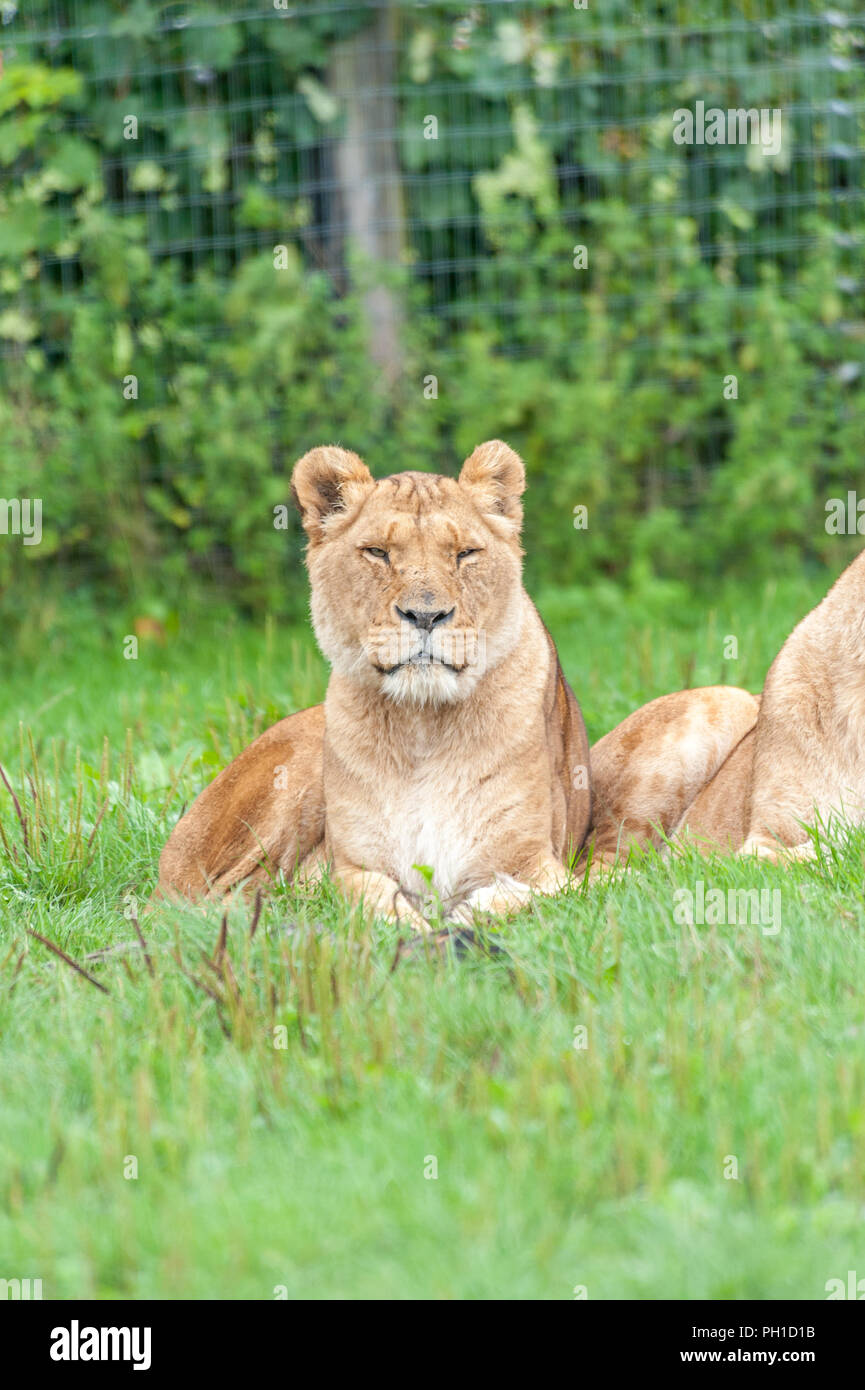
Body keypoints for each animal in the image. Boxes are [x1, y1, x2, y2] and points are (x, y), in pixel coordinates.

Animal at [155, 441, 759, 927]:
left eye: (465, 553)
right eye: (378, 553)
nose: (425, 615)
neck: (423, 725)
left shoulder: (538, 866)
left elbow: (528, 897)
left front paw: (465, 919)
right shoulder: (350, 869)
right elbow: (375, 905)